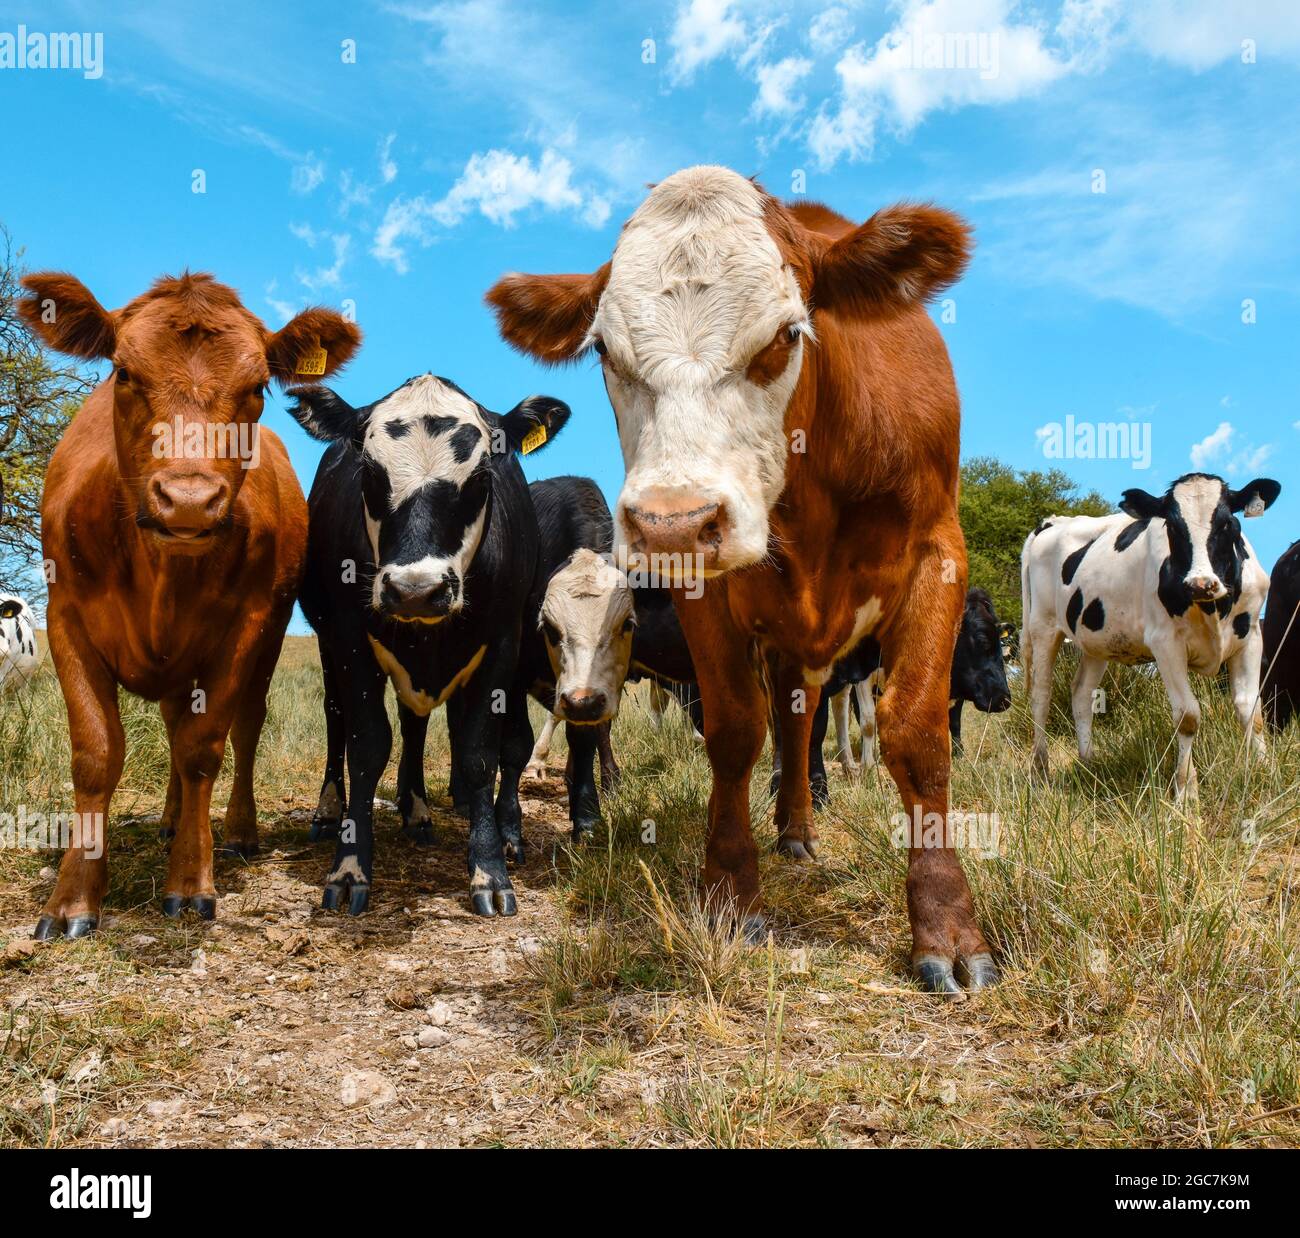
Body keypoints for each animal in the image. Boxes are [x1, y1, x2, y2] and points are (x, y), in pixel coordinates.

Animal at [17, 271, 354, 938]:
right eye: (123, 372)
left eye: (257, 386)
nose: (190, 500)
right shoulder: (63, 615)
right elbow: (96, 753)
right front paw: (72, 899)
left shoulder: (247, 625)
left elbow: (204, 748)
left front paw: (192, 883)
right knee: (173, 726)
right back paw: (173, 820)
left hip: (267, 637)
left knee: (241, 729)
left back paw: (236, 832)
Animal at [292, 374, 569, 916]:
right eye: (369, 473)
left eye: (481, 478)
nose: (416, 589)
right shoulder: (349, 639)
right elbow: (365, 745)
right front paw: (350, 866)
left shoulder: (502, 644)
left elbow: (479, 753)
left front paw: (489, 870)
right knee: (336, 718)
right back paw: (330, 810)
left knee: (416, 725)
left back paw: (418, 810)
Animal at [487, 165, 995, 992]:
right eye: (605, 352)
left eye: (786, 335)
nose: (671, 522)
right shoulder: (705, 595)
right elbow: (734, 732)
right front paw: (729, 891)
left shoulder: (937, 555)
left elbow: (916, 735)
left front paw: (946, 924)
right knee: (787, 718)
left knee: (804, 718)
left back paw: (798, 828)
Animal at [1021, 472, 1280, 800]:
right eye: (1172, 527)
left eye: (1228, 524)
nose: (1200, 583)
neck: (1211, 607)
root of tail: (1054, 521)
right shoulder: (1165, 643)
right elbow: (1187, 716)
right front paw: (1186, 789)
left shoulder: (1252, 636)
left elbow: (1251, 711)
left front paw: (1264, 771)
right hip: (1043, 626)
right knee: (1041, 695)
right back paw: (1040, 772)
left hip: (1096, 640)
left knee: (1080, 692)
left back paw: (1089, 764)